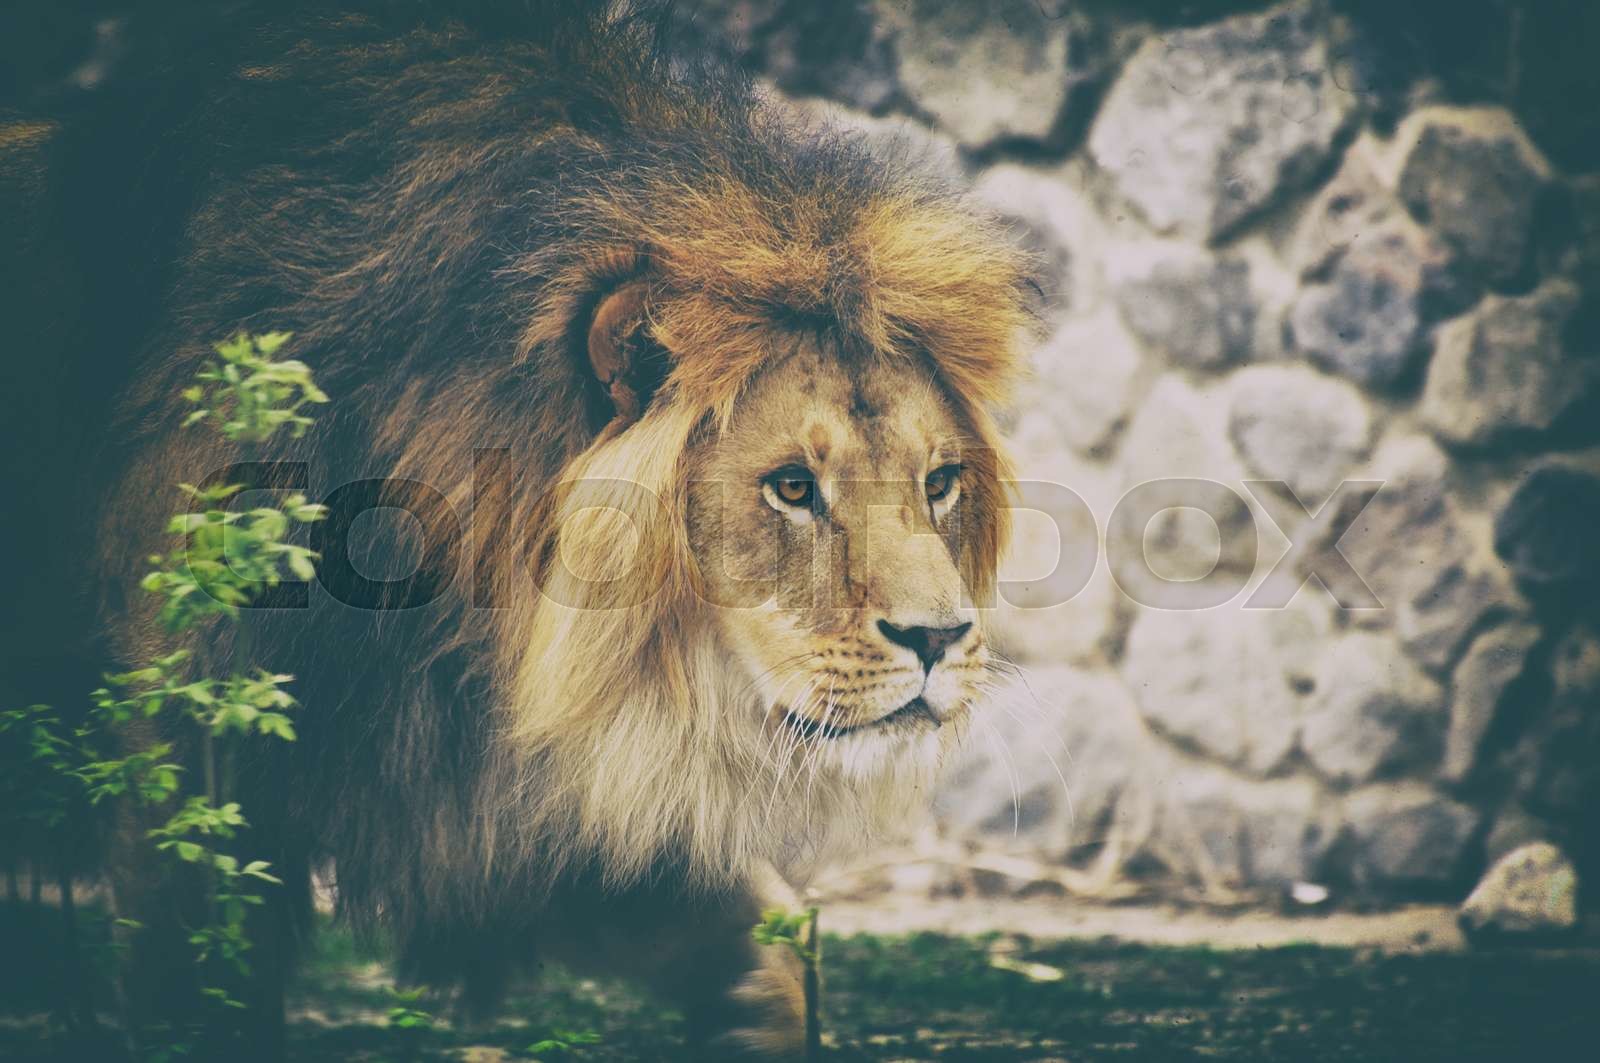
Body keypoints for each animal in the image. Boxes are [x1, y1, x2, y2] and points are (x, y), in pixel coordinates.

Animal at [2, 3, 1030, 1058]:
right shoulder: (192, 757)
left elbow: (768, 953)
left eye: (939, 482)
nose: (940, 637)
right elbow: (196, 989)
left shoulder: (498, 796)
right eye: (790, 487)